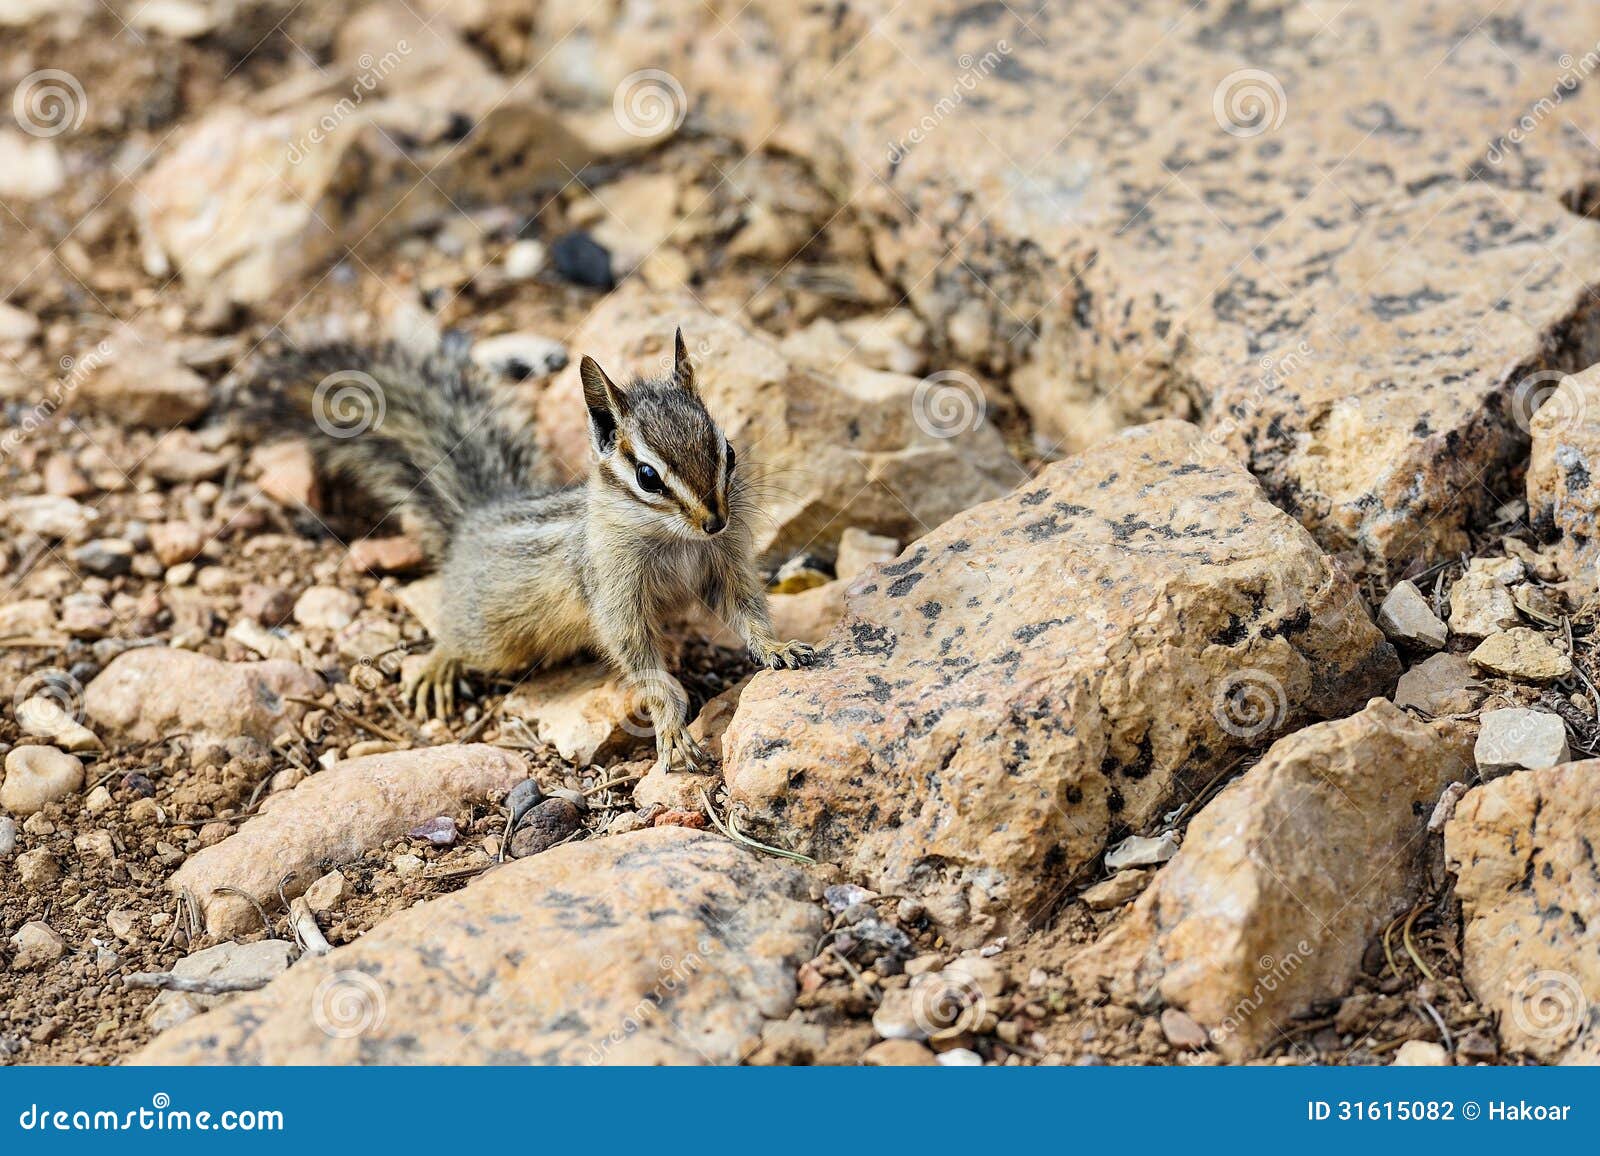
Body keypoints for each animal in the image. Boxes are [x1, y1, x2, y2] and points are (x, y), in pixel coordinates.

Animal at [248, 329, 816, 773]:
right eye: (648, 477)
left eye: (729, 453)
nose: (715, 521)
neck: (675, 538)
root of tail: (473, 519)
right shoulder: (614, 593)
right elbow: (639, 659)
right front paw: (672, 726)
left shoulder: (722, 563)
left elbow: (744, 609)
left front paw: (779, 647)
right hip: (494, 640)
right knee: (455, 637)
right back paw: (438, 666)